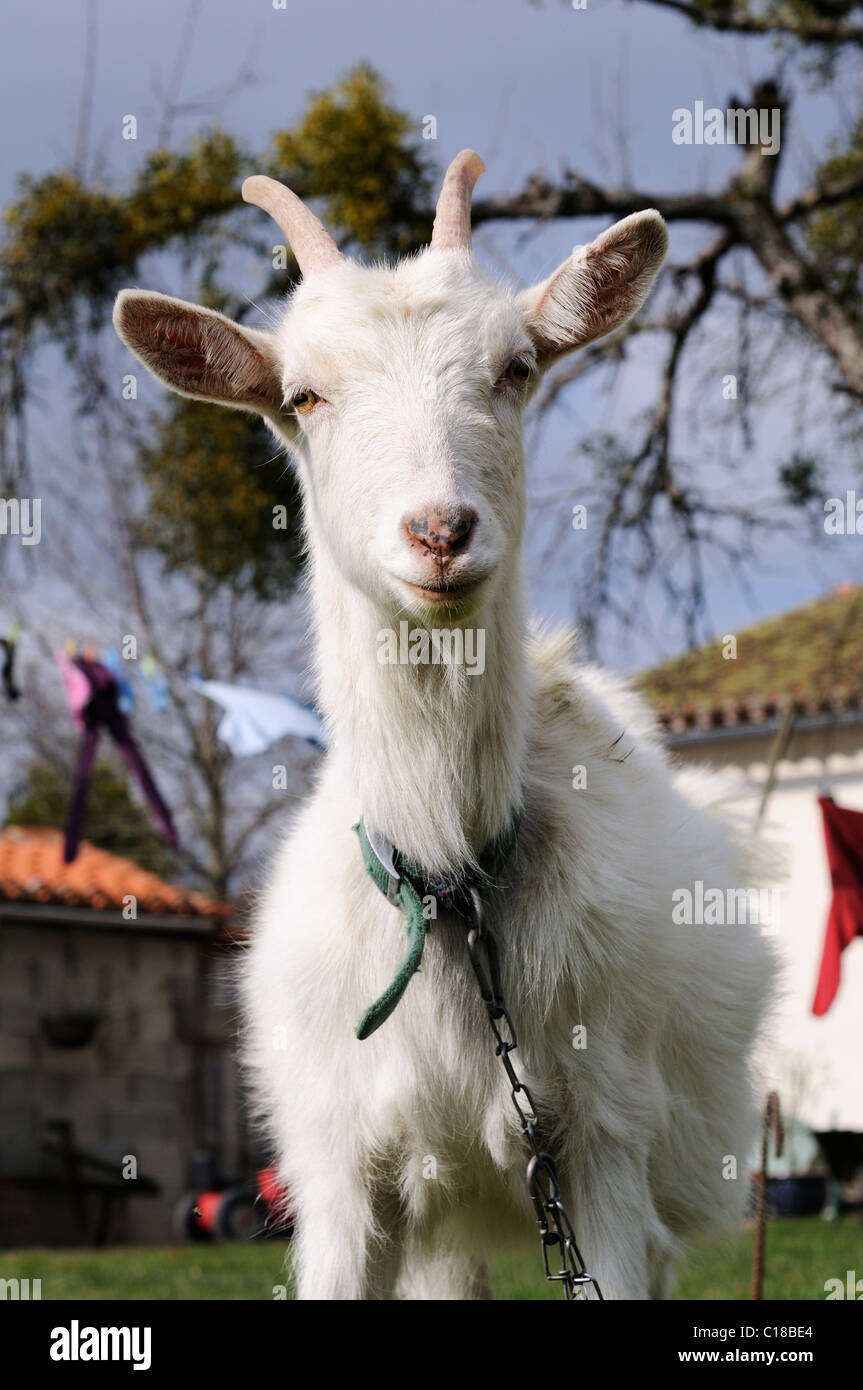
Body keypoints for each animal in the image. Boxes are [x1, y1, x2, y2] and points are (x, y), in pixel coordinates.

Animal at [114, 150, 775, 1300]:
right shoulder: (340, 1173)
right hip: (441, 1227)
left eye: (516, 367)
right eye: (301, 395)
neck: (450, 886)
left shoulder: (602, 1145)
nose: (439, 531)